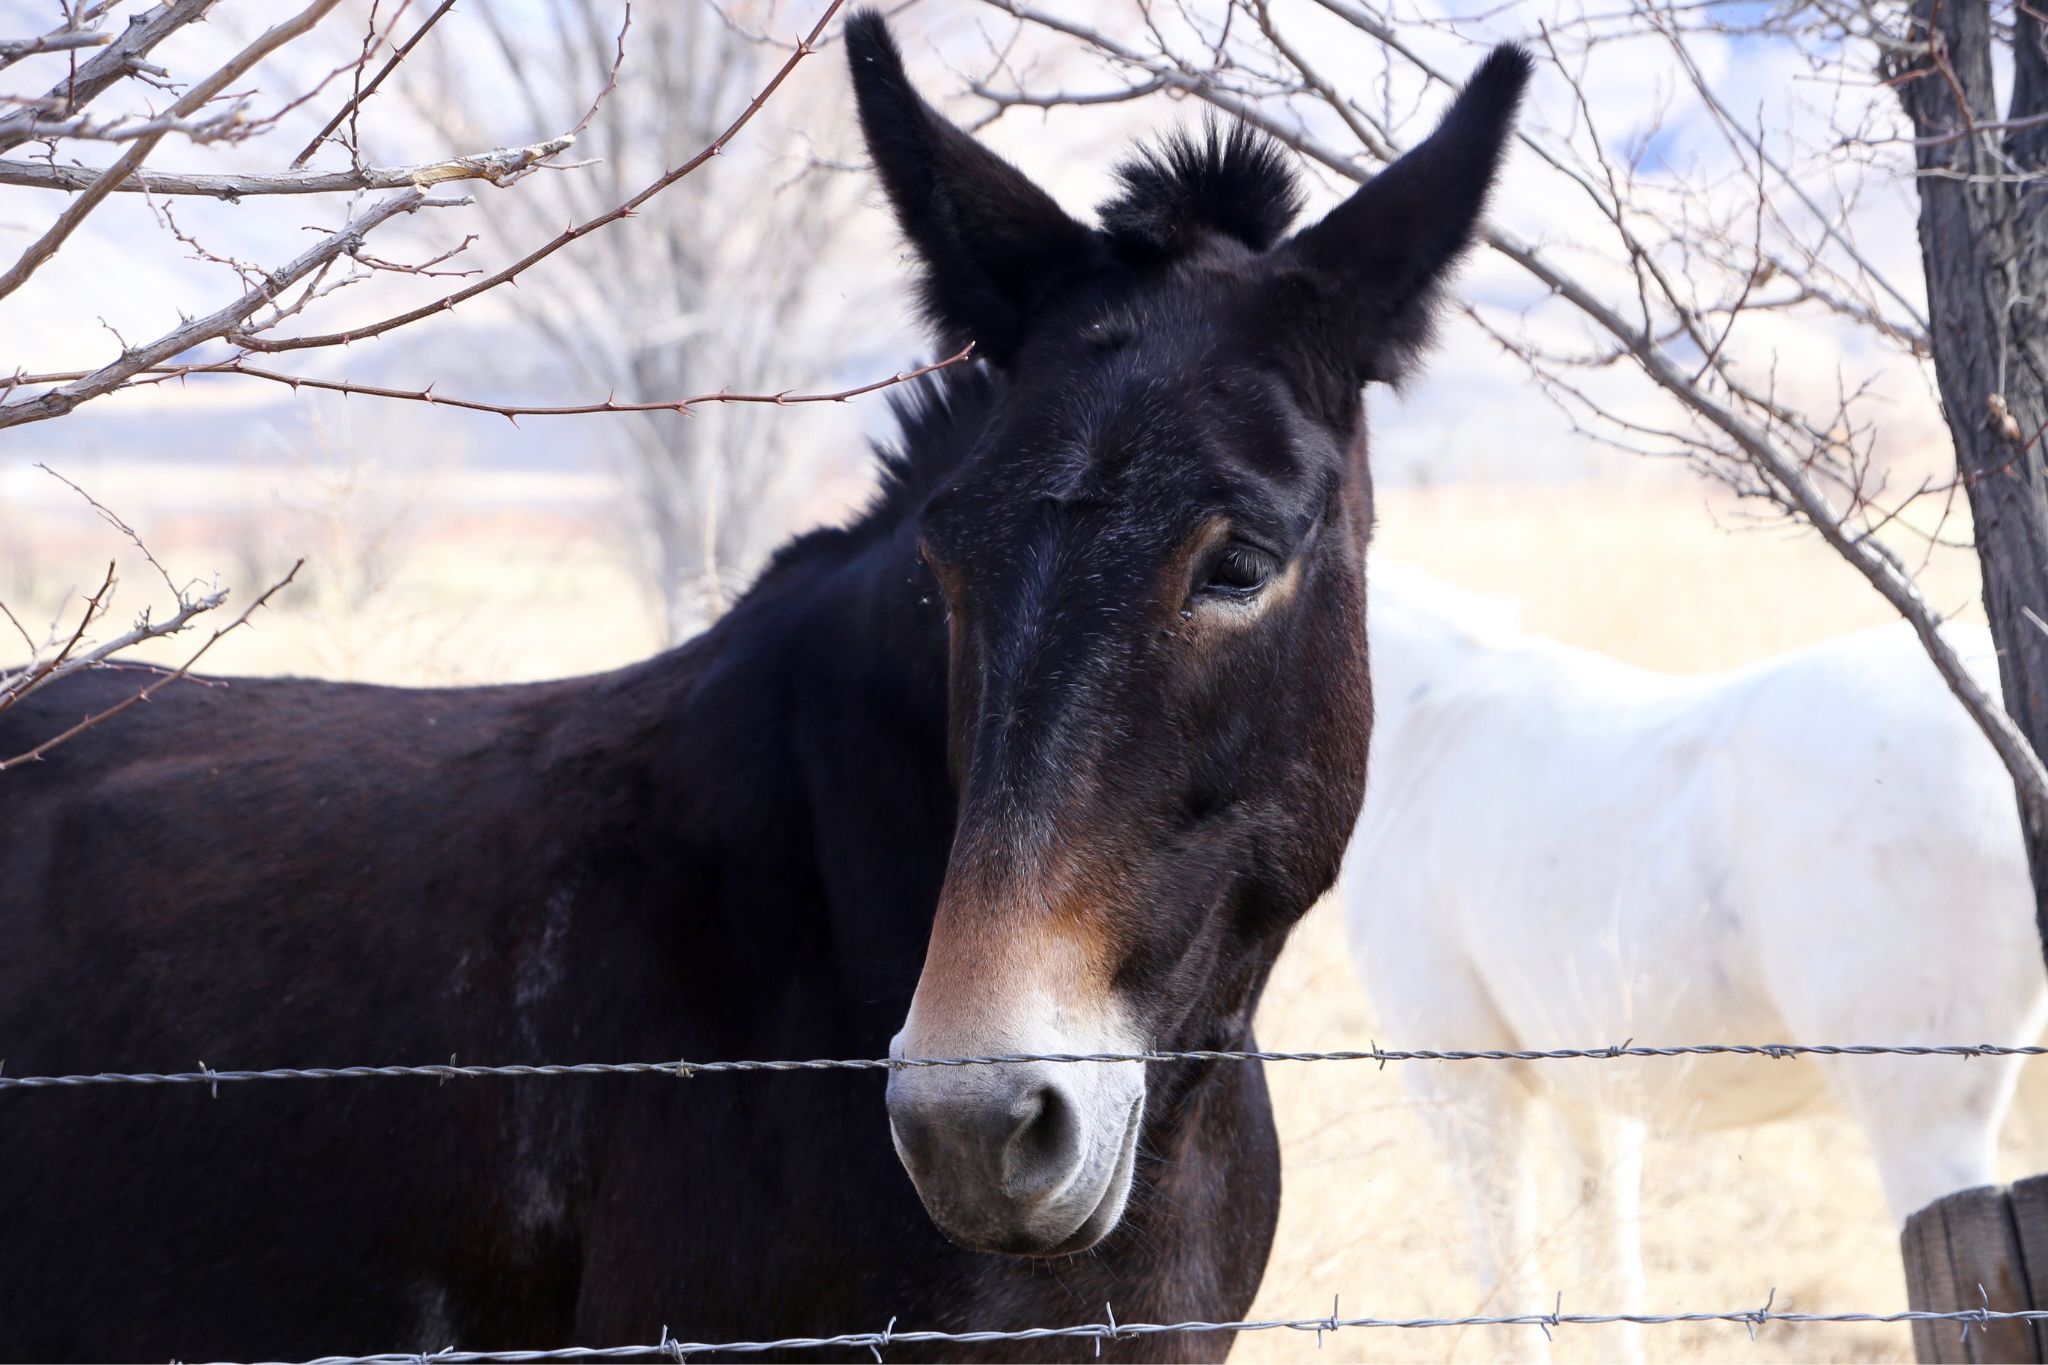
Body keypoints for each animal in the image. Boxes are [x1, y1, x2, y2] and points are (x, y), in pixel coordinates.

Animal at [1339, 562, 2048, 1361]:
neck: (1426, 727)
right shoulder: (1591, 1091)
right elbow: (1607, 1286)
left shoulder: (1466, 1089)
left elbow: (1511, 1300)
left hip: (1924, 1121)